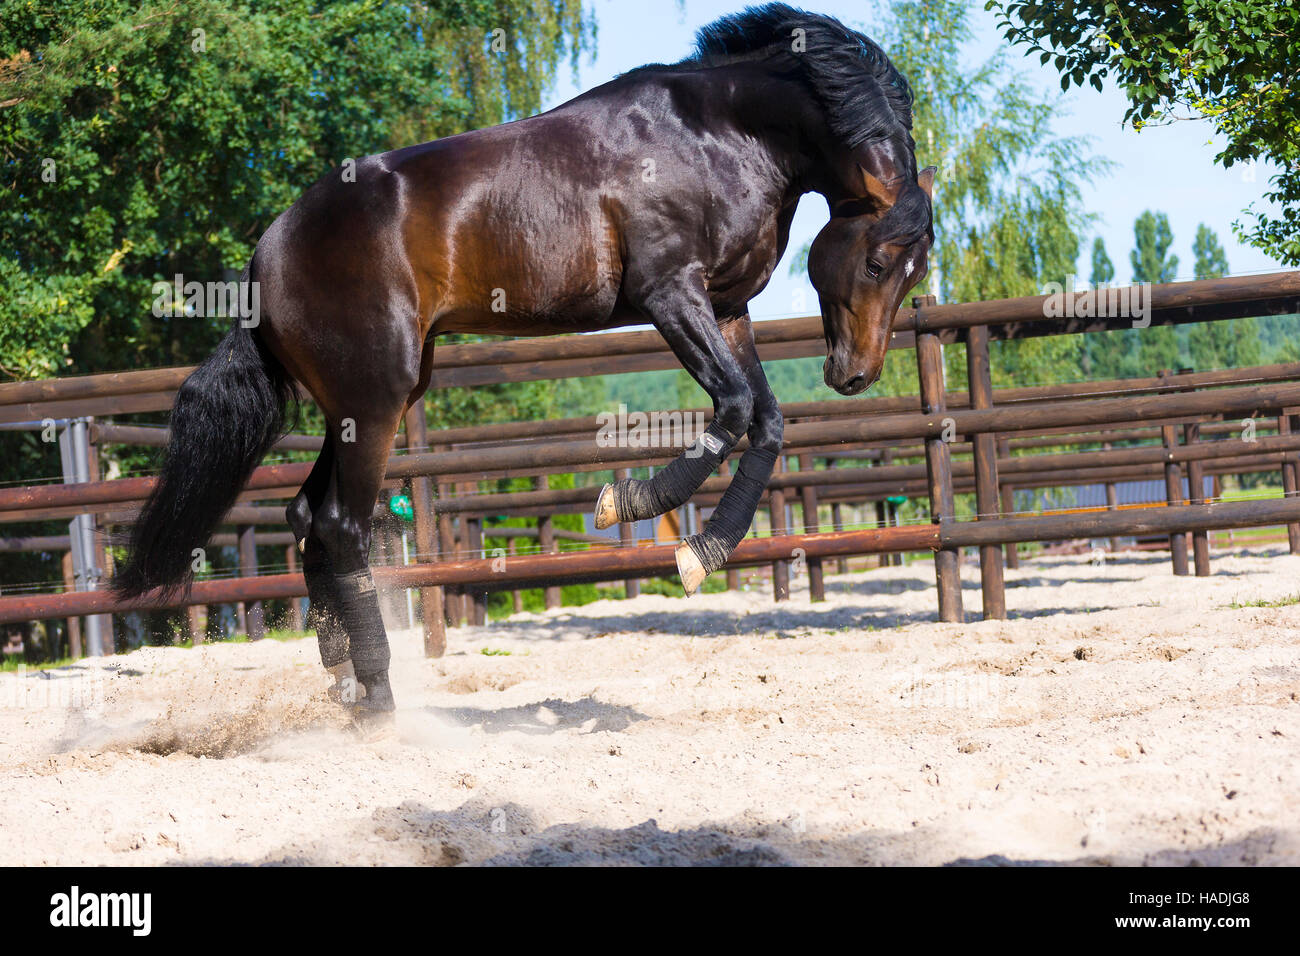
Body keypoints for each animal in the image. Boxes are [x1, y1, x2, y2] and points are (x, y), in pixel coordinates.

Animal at [111, 3, 936, 719]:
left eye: (915, 271)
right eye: (878, 261)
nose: (854, 374)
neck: (718, 130)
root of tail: (268, 252)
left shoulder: (727, 310)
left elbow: (765, 422)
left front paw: (703, 551)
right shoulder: (671, 293)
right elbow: (732, 410)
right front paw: (627, 502)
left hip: (365, 401)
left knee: (308, 515)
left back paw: (344, 682)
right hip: (374, 399)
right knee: (343, 524)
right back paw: (379, 696)